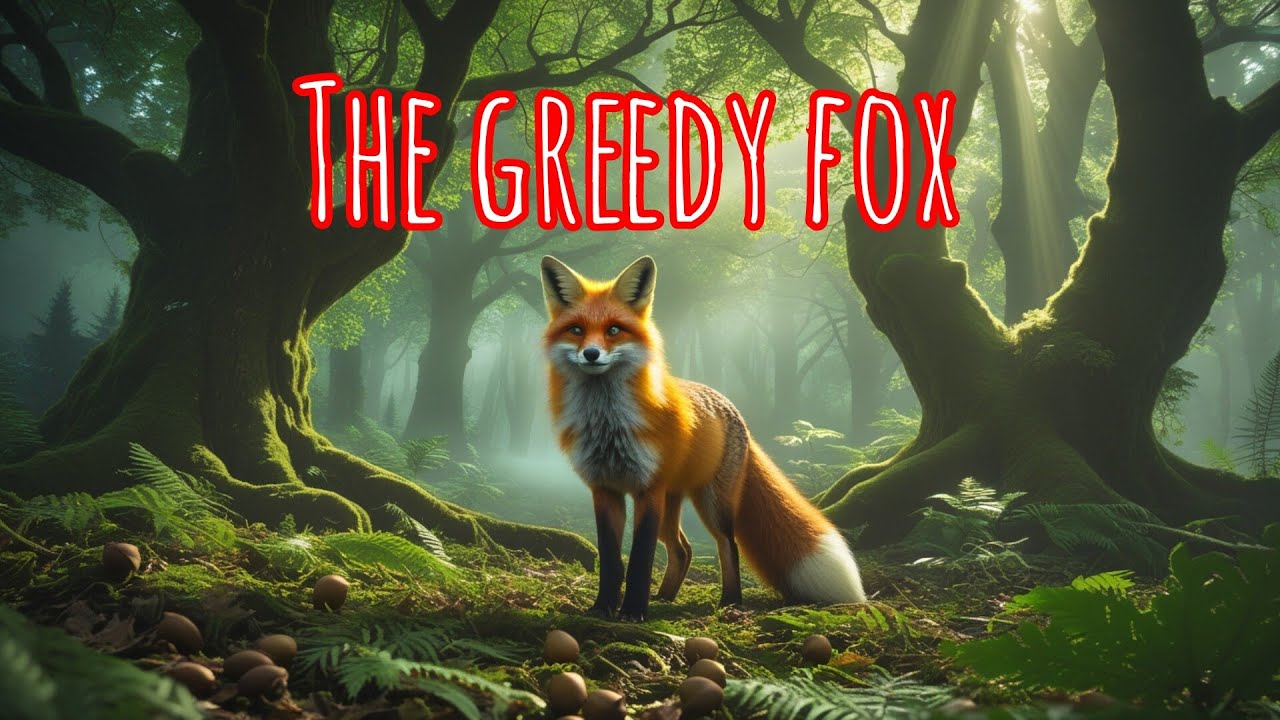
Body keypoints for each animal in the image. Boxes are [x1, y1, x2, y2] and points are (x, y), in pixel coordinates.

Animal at [540, 255, 866, 621]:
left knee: (728, 544)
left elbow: (639, 560)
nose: (592, 354)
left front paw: (633, 612)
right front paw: (602, 608)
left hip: (712, 503)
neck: (608, 426)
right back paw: (665, 597)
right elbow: (611, 560)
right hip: (672, 505)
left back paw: (730, 601)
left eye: (613, 330)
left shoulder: (647, 490)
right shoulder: (604, 490)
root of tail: (731, 406)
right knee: (683, 549)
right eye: (577, 330)